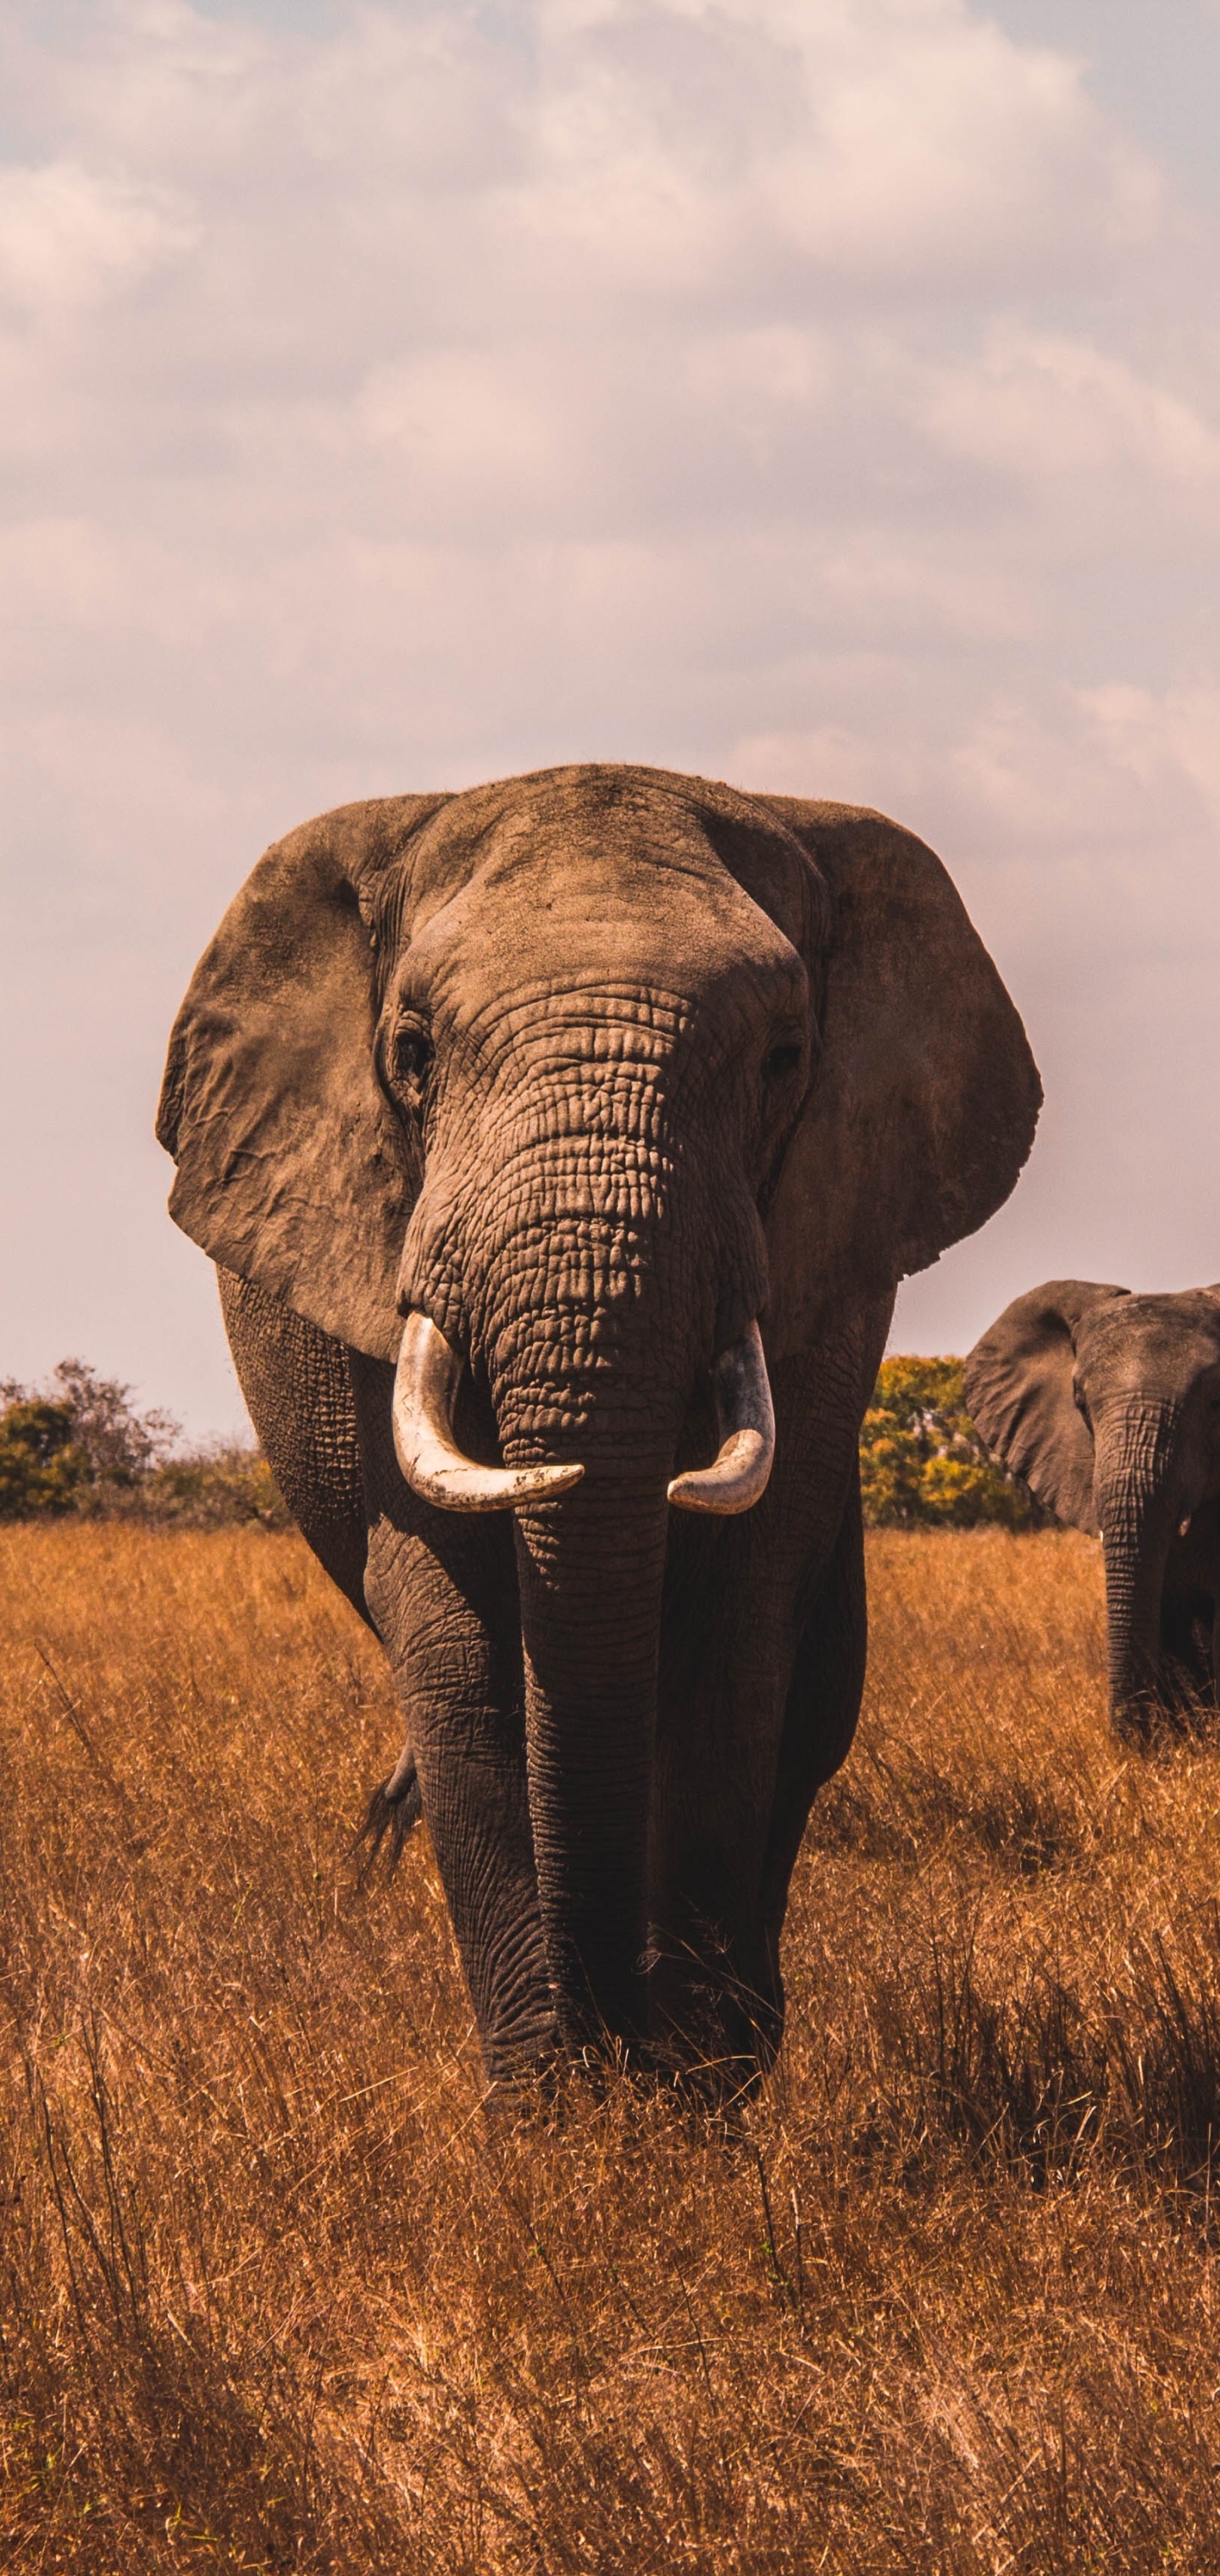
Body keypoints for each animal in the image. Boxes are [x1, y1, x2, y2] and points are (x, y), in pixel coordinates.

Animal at [158, 763, 1040, 2088]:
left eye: (785, 1057)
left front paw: (691, 2092)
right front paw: (555, 2105)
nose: (617, 2034)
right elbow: (461, 1647)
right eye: (412, 1054)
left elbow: (739, 1633)